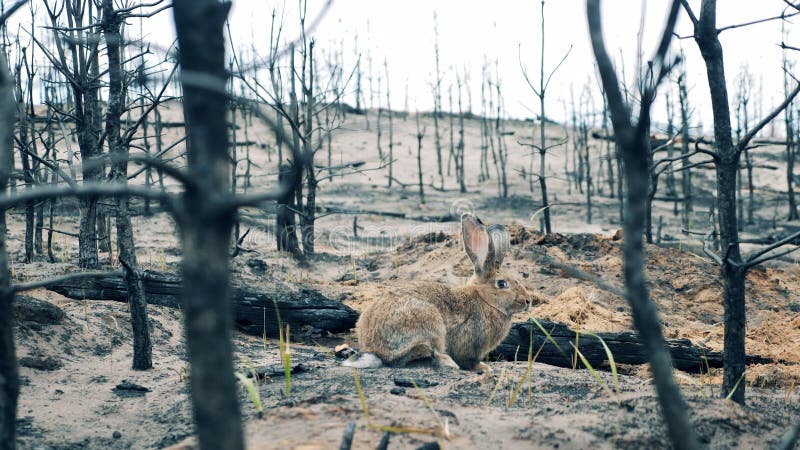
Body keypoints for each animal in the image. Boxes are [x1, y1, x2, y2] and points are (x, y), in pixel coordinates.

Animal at [343, 213, 531, 371]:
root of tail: (375, 350)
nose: (528, 301)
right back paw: (448, 363)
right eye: (502, 284)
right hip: (429, 325)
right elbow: (469, 360)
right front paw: (483, 368)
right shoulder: (469, 343)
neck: (485, 299)